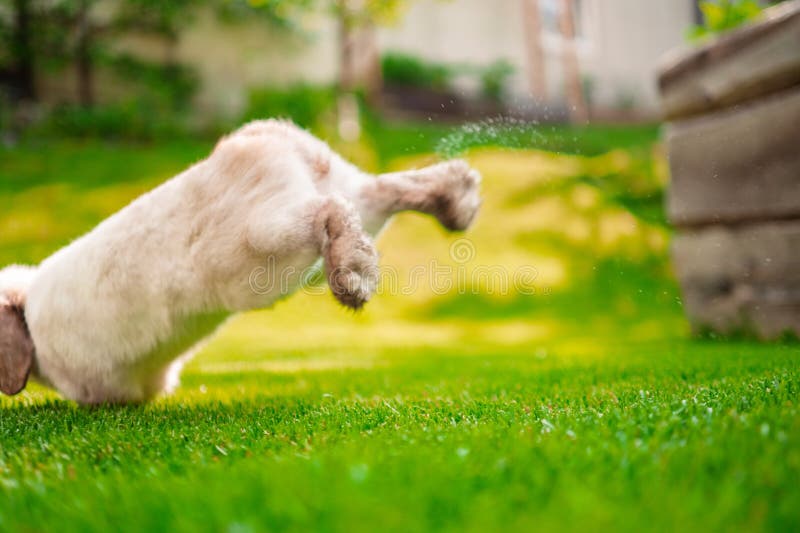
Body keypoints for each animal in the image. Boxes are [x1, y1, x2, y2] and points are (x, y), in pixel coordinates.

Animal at [0, 120, 481, 405]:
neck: (30, 320)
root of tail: (263, 141)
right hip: (342, 211)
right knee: (388, 191)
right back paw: (460, 198)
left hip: (263, 252)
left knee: (327, 212)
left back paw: (353, 280)